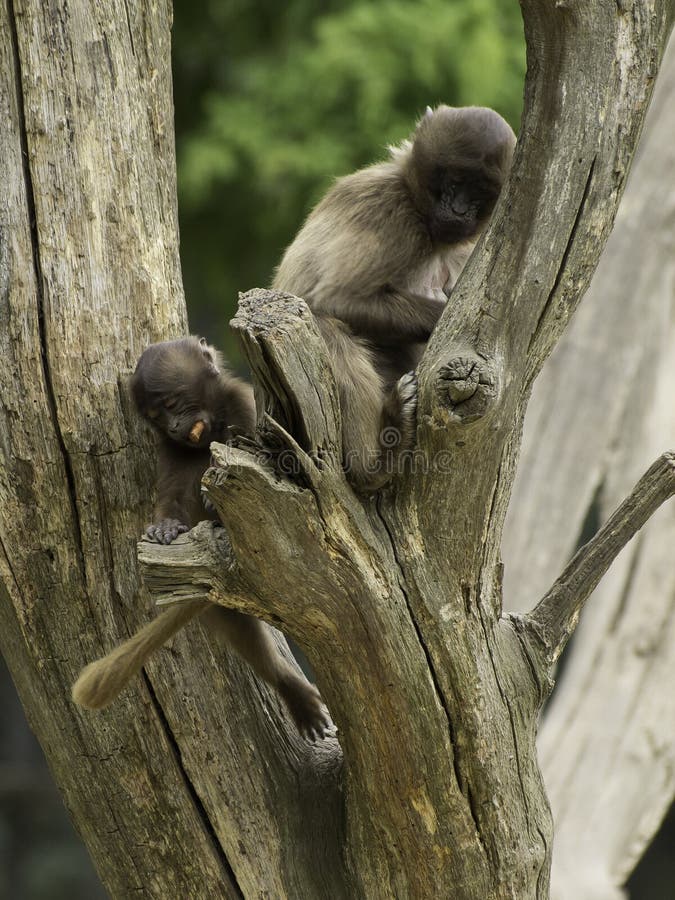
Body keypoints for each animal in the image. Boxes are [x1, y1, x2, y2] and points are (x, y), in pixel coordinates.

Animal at [72, 337, 331, 741]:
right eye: (156, 416)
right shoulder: (169, 447)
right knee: (239, 628)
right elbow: (172, 494)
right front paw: (164, 528)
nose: (177, 426)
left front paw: (217, 491)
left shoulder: (245, 404)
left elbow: (264, 456)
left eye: (171, 404)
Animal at [273, 104, 516, 491]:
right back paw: (375, 464)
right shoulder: (390, 213)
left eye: (478, 190)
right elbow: (336, 300)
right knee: (327, 327)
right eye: (455, 181)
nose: (459, 209)